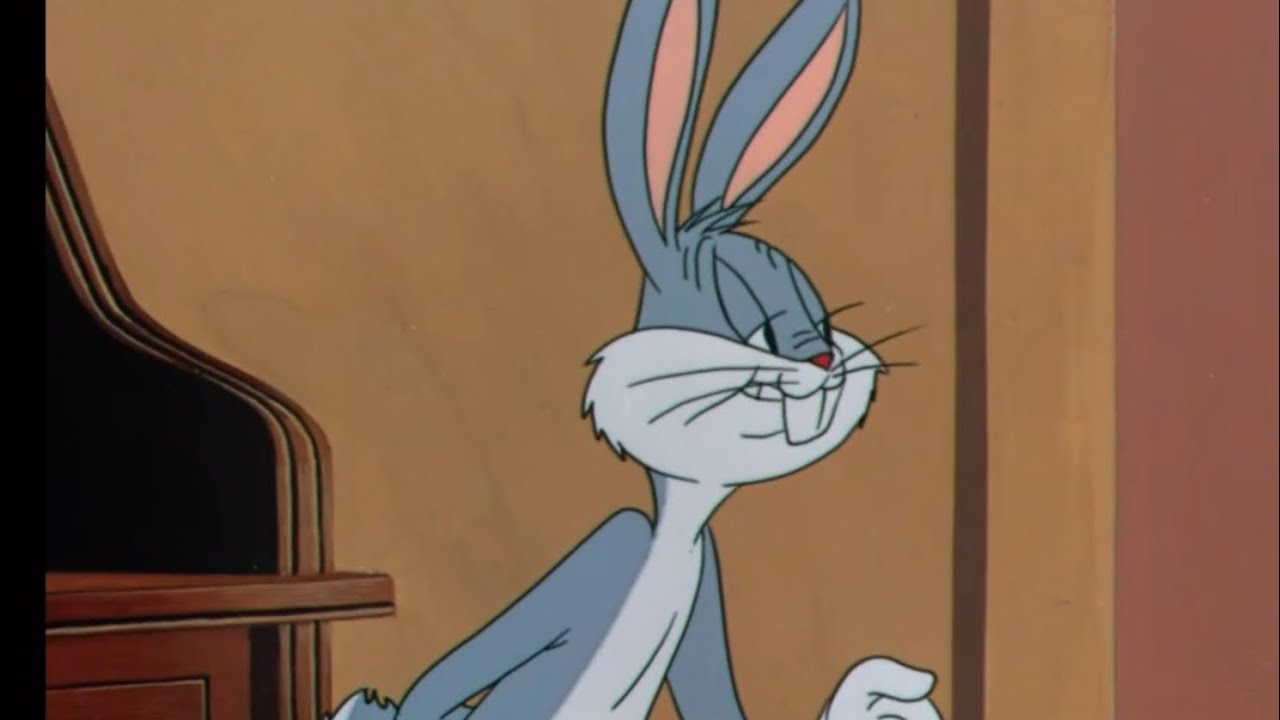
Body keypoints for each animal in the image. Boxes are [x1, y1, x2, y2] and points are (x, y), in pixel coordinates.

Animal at [327, 0, 942, 718]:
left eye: (821, 320)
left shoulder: (704, 588)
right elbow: (455, 670)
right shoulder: (615, 542)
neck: (675, 535)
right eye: (756, 328)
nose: (821, 359)